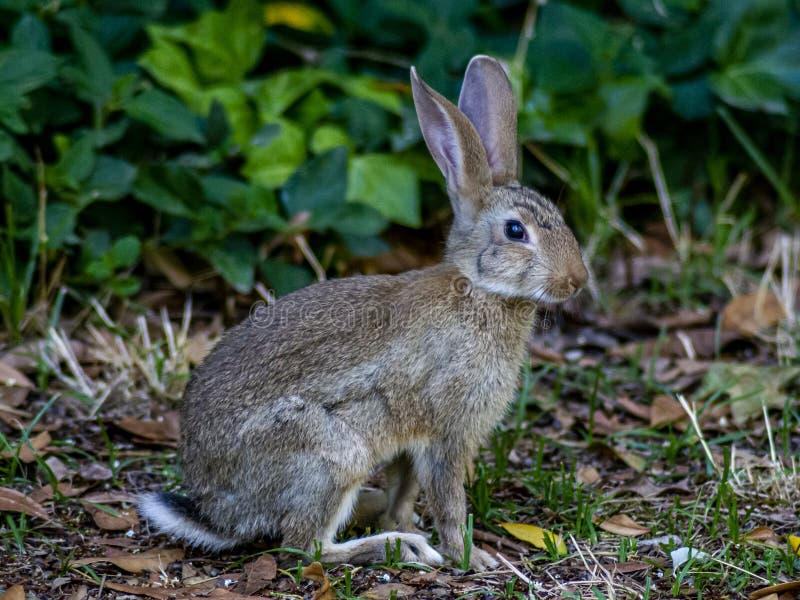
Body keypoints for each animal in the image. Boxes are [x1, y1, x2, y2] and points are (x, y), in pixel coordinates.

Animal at [138, 55, 588, 571]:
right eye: (516, 231)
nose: (578, 279)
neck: (478, 291)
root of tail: (218, 509)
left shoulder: (412, 439)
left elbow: (406, 488)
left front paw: (408, 521)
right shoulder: (446, 431)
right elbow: (447, 499)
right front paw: (469, 556)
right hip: (332, 455)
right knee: (304, 547)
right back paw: (397, 546)